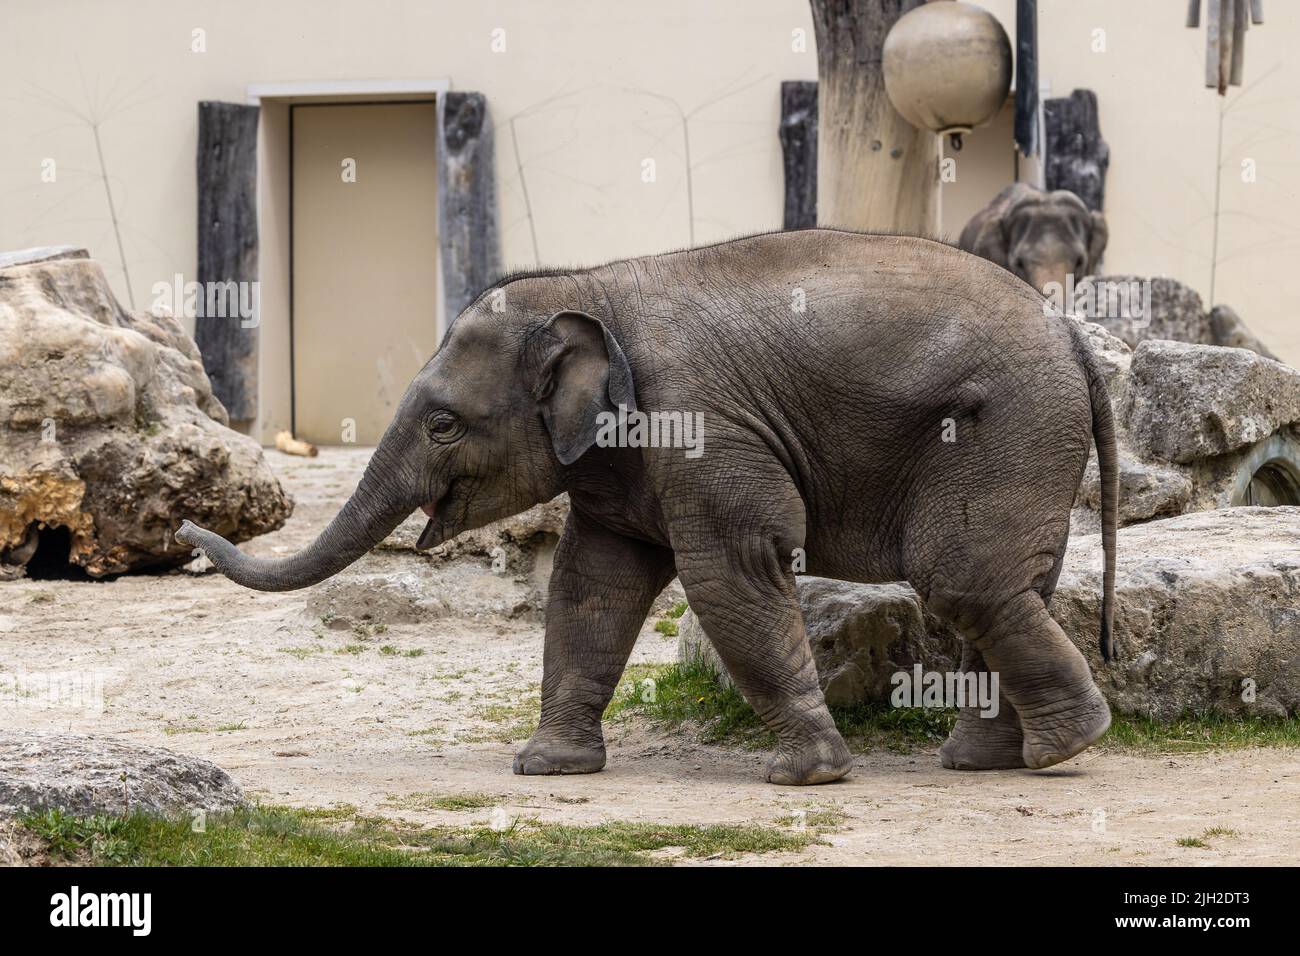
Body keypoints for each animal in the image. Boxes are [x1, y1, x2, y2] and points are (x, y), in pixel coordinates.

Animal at [178, 229, 1118, 786]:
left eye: (443, 424)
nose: (189, 527)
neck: (587, 287)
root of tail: (1073, 335)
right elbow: (593, 584)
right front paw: (546, 770)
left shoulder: (699, 423)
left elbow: (730, 572)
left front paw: (804, 778)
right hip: (1029, 442)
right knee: (1002, 584)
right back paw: (992, 761)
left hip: (1004, 428)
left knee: (961, 579)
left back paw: (1064, 747)